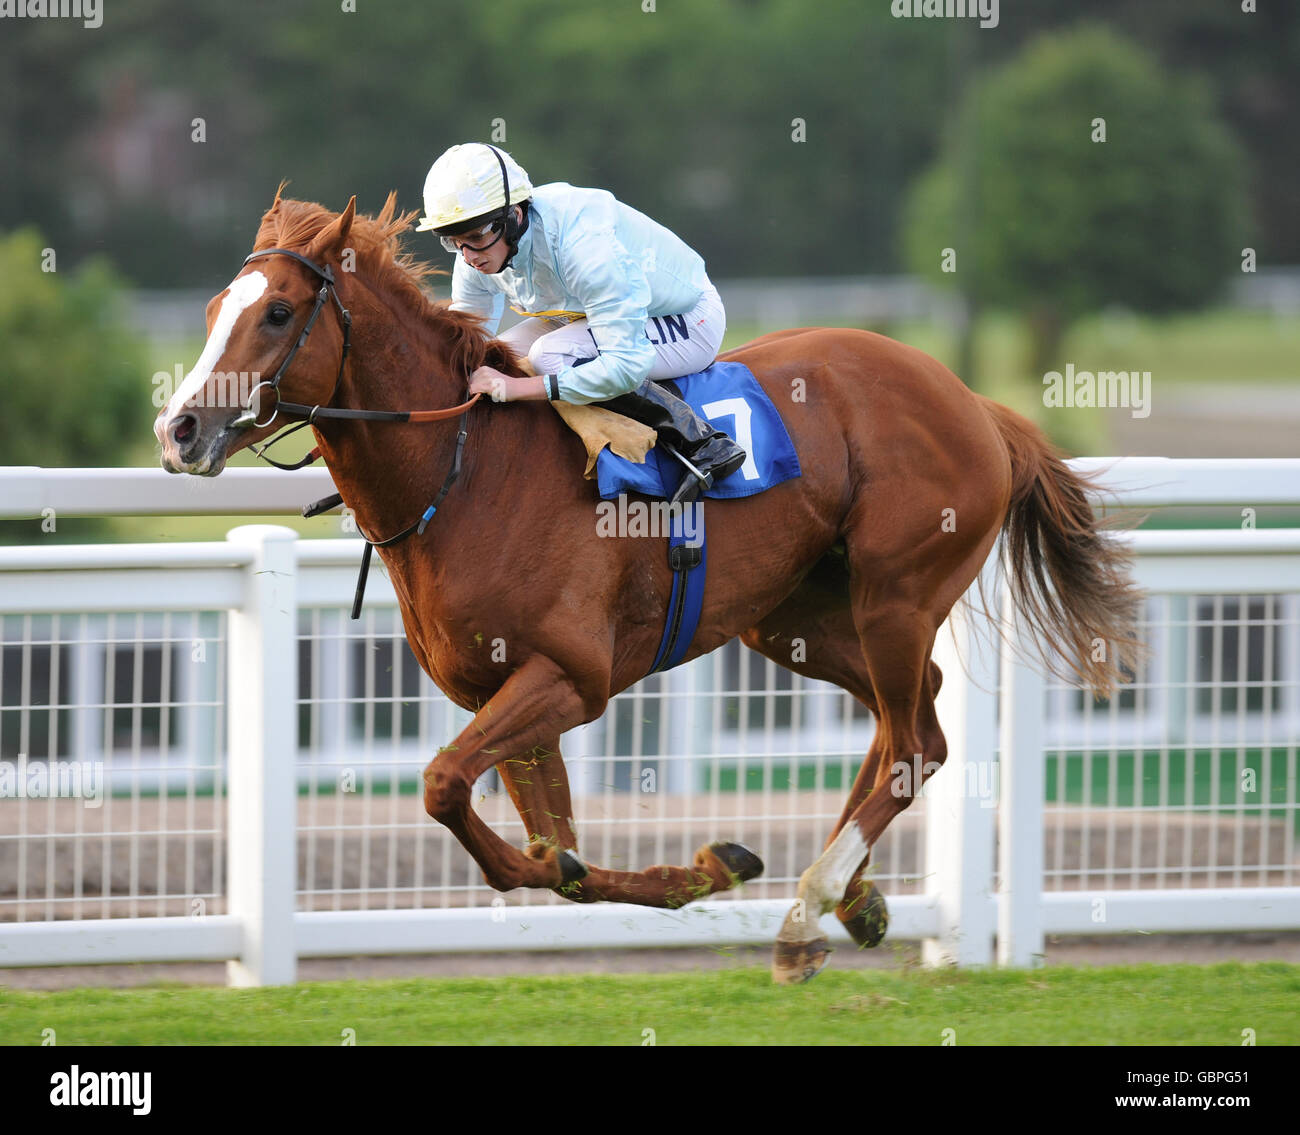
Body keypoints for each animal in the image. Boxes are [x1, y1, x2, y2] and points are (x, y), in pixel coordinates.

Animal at [154, 191, 1141, 983]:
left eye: (279, 312)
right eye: (211, 310)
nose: (179, 429)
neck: (464, 474)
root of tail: (975, 401)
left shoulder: (572, 678)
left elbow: (444, 788)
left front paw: (707, 867)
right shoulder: (503, 693)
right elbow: (548, 854)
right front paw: (702, 868)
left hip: (896, 596)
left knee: (916, 742)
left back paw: (811, 906)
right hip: (795, 618)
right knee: (912, 718)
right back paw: (848, 900)